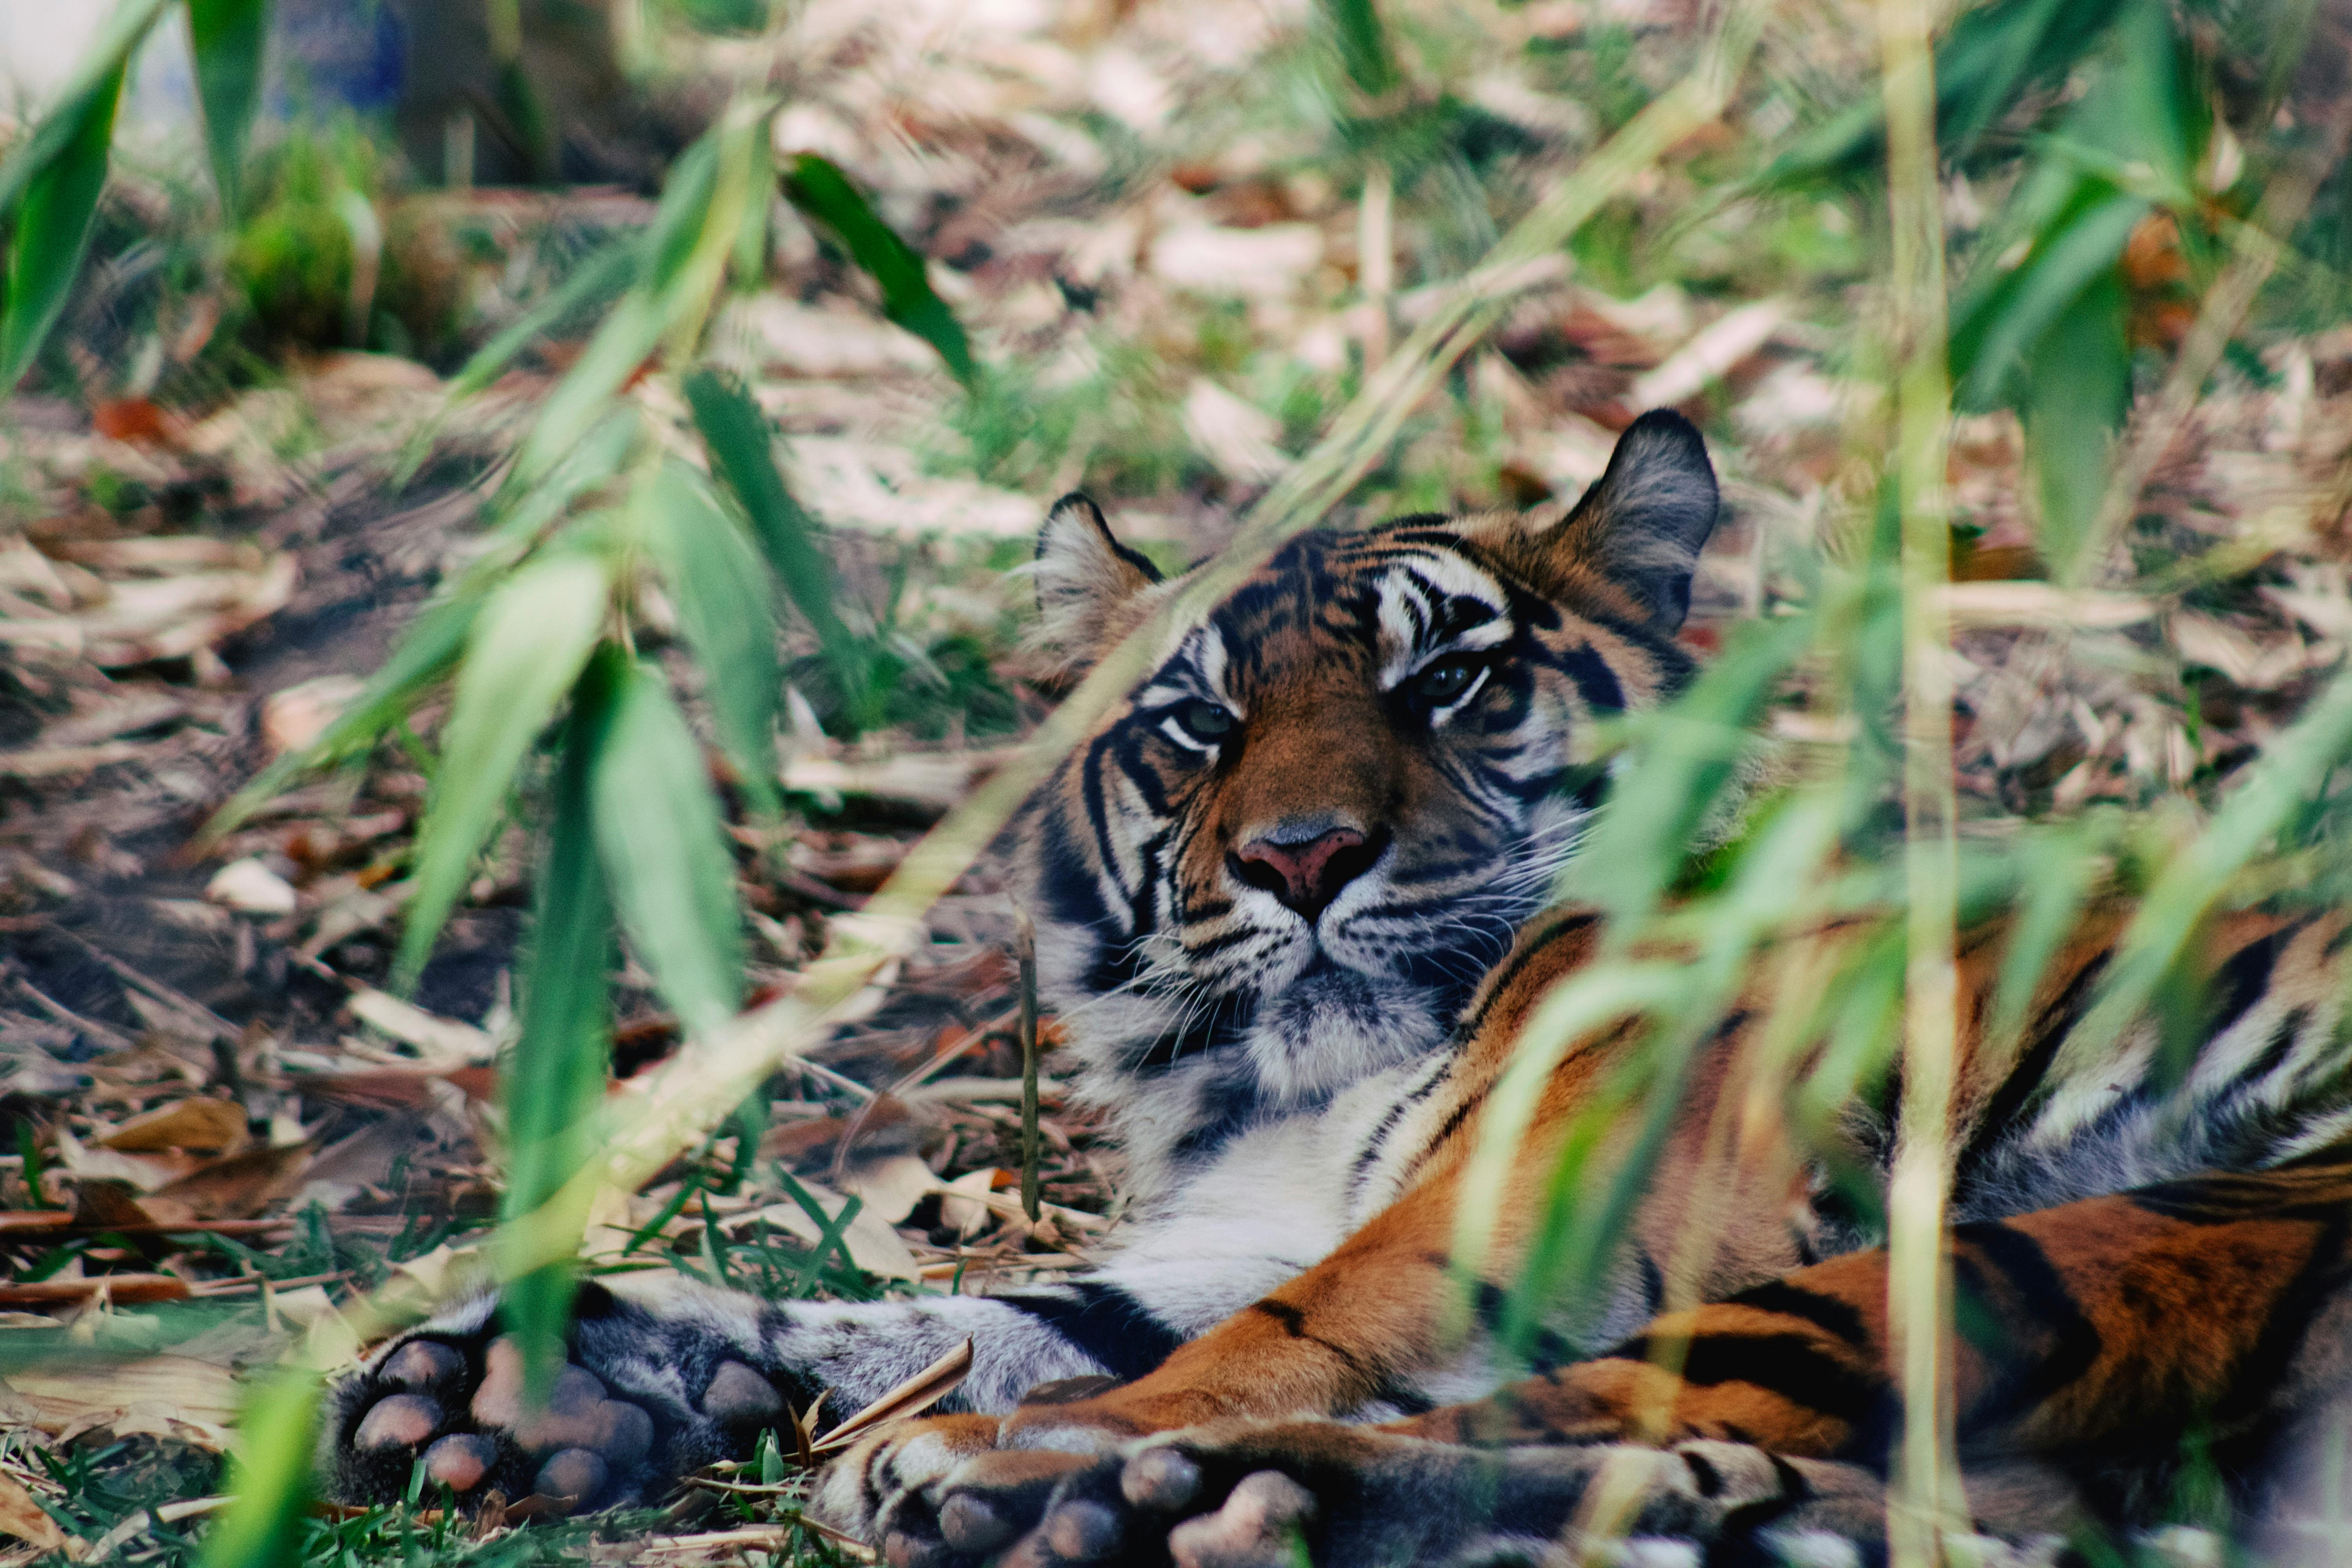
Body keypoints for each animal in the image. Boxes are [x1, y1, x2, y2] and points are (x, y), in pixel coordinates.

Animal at [321, 410, 2352, 1567]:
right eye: (1198, 723)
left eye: (1444, 680)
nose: (1297, 857)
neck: (1295, 1081)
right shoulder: (1261, 1210)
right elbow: (981, 1306)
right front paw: (508, 1378)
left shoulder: (1513, 1200)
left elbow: (1255, 1341)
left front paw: (1002, 1444)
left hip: (2071, 1235)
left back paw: (1075, 1495)